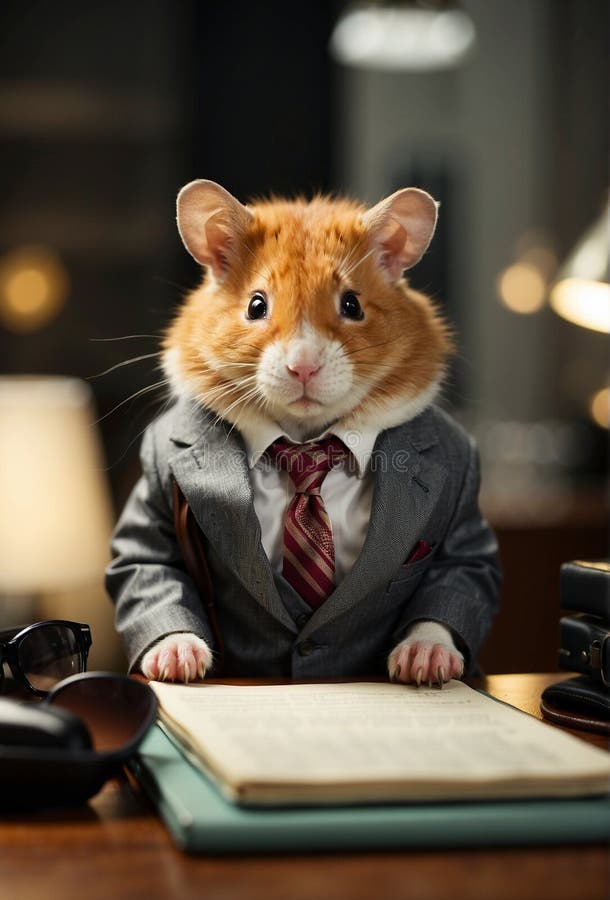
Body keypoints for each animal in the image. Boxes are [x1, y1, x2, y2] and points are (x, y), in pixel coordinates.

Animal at [108, 179, 500, 687]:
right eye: (256, 304)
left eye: (352, 303)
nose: (303, 368)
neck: (305, 436)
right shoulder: (153, 502)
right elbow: (150, 565)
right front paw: (177, 662)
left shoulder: (462, 528)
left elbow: (459, 573)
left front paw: (424, 664)